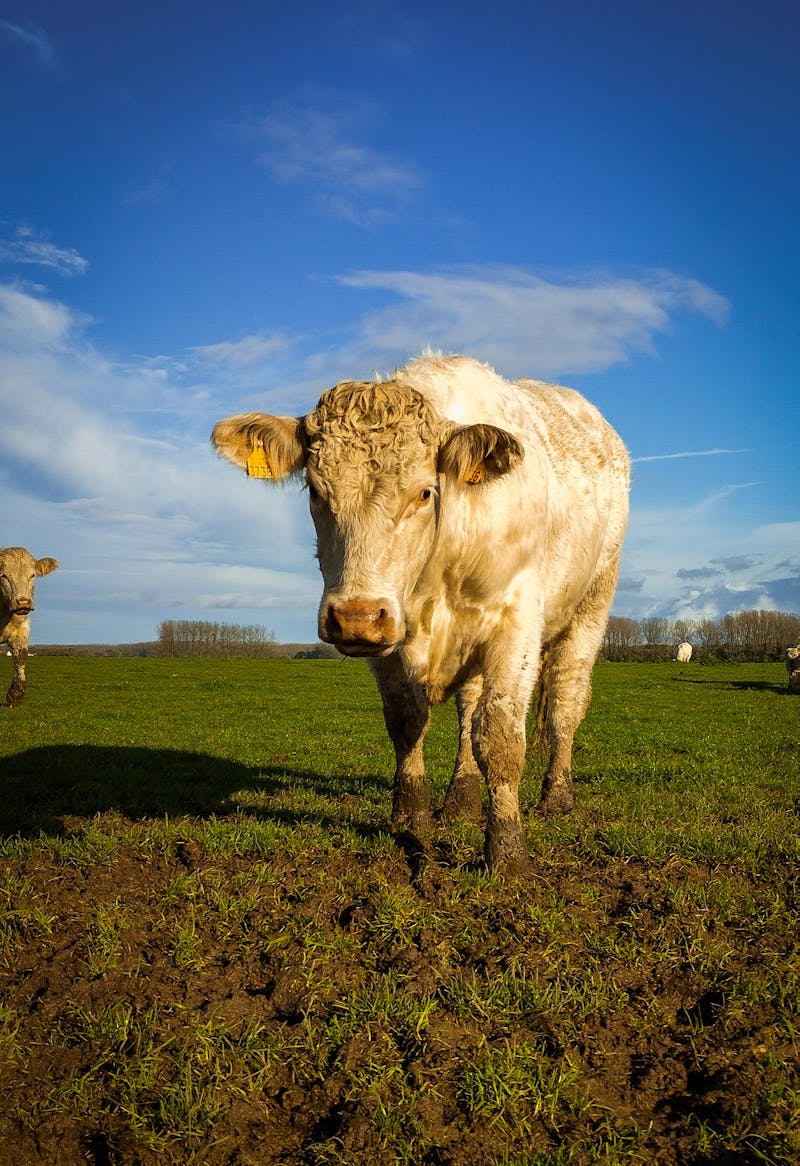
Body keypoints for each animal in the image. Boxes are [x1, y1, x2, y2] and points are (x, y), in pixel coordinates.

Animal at [0, 547, 59, 707]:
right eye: (3, 575)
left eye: (33, 575)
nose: (23, 602)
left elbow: (20, 657)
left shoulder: (20, 630)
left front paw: (15, 695)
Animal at [212, 355, 630, 875]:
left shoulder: (515, 618)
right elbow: (409, 720)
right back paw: (462, 801)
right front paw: (412, 818)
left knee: (565, 703)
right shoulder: (388, 635)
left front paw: (508, 853)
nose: (354, 616)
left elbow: (501, 738)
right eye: (314, 491)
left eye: (425, 493)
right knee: (469, 709)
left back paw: (557, 795)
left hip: (592, 603)